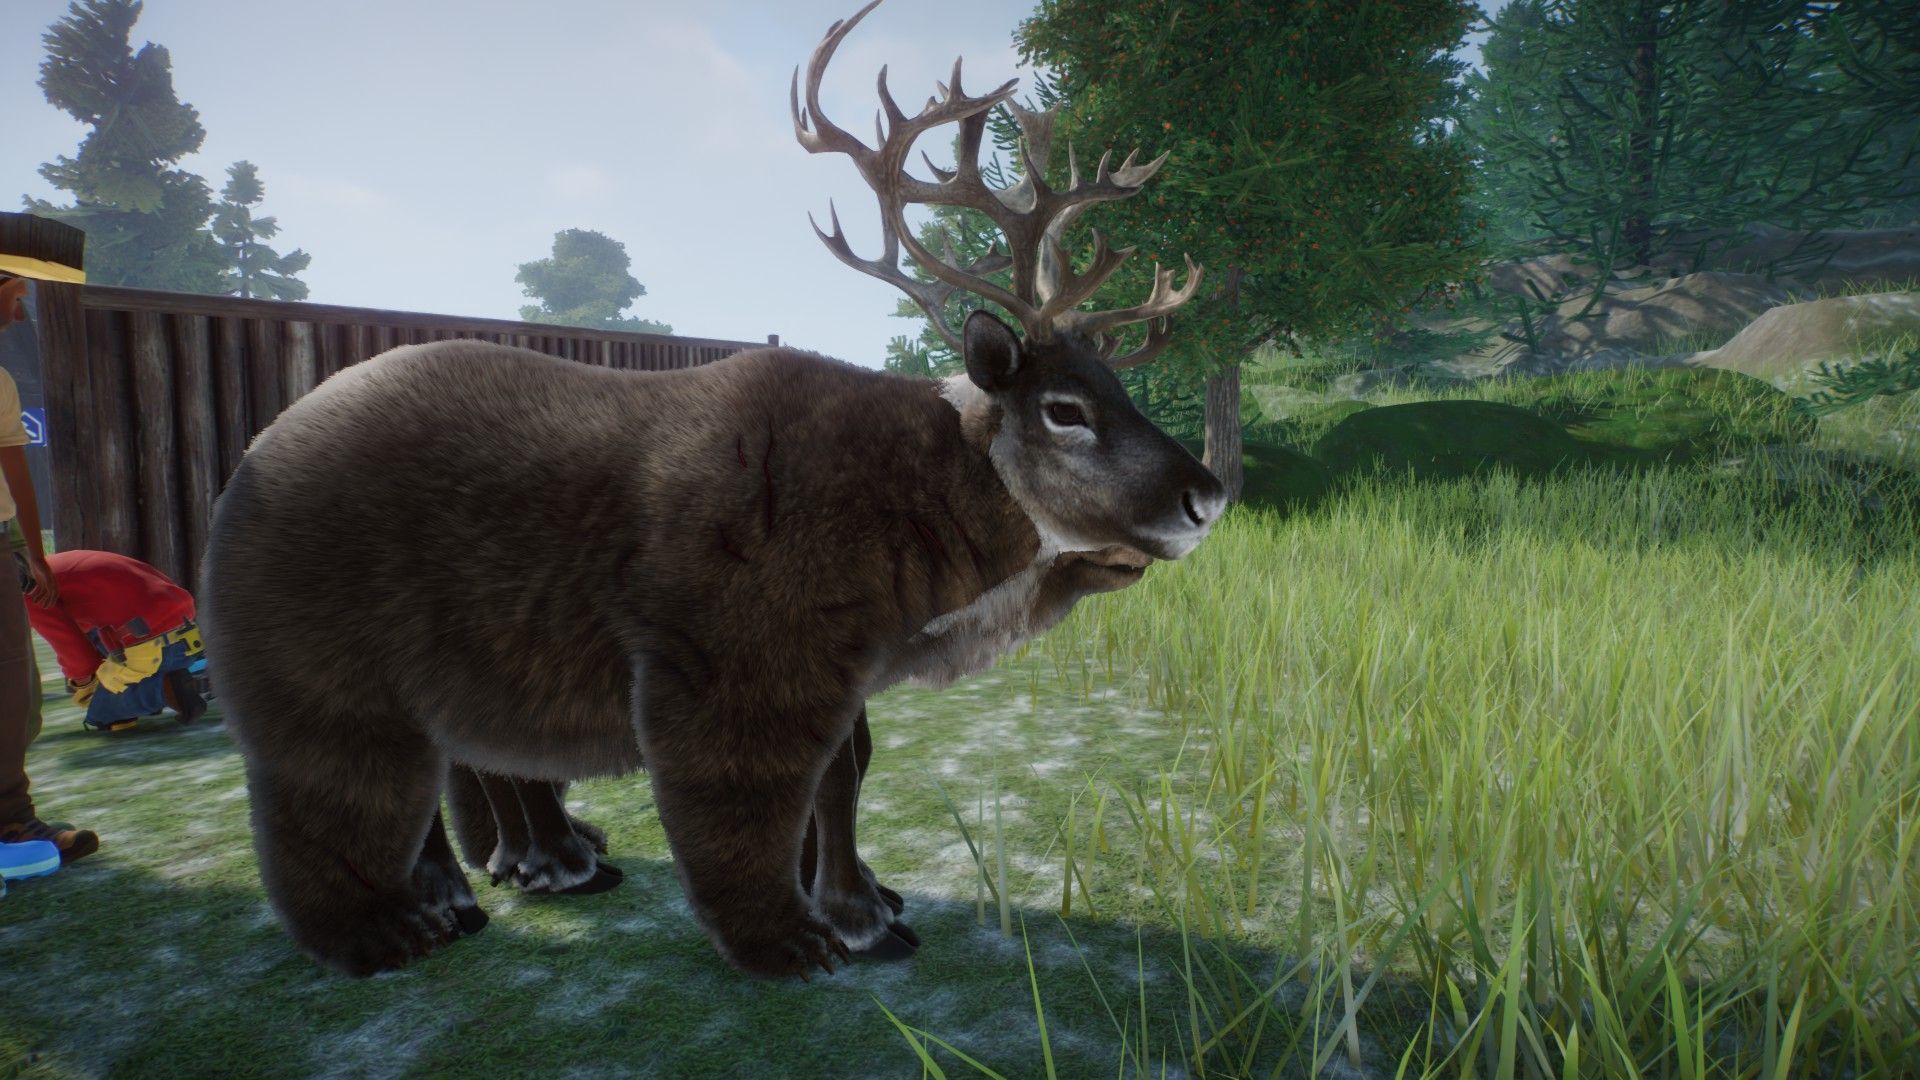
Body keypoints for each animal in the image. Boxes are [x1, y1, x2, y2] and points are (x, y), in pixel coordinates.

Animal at [199, 0, 1224, 980]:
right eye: (1064, 409)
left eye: (1121, 385)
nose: (1207, 497)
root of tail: (246, 461)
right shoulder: (742, 657)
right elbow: (789, 782)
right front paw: (830, 925)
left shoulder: (846, 663)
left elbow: (848, 772)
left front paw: (863, 902)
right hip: (337, 661)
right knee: (355, 775)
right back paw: (443, 901)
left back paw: (529, 863)